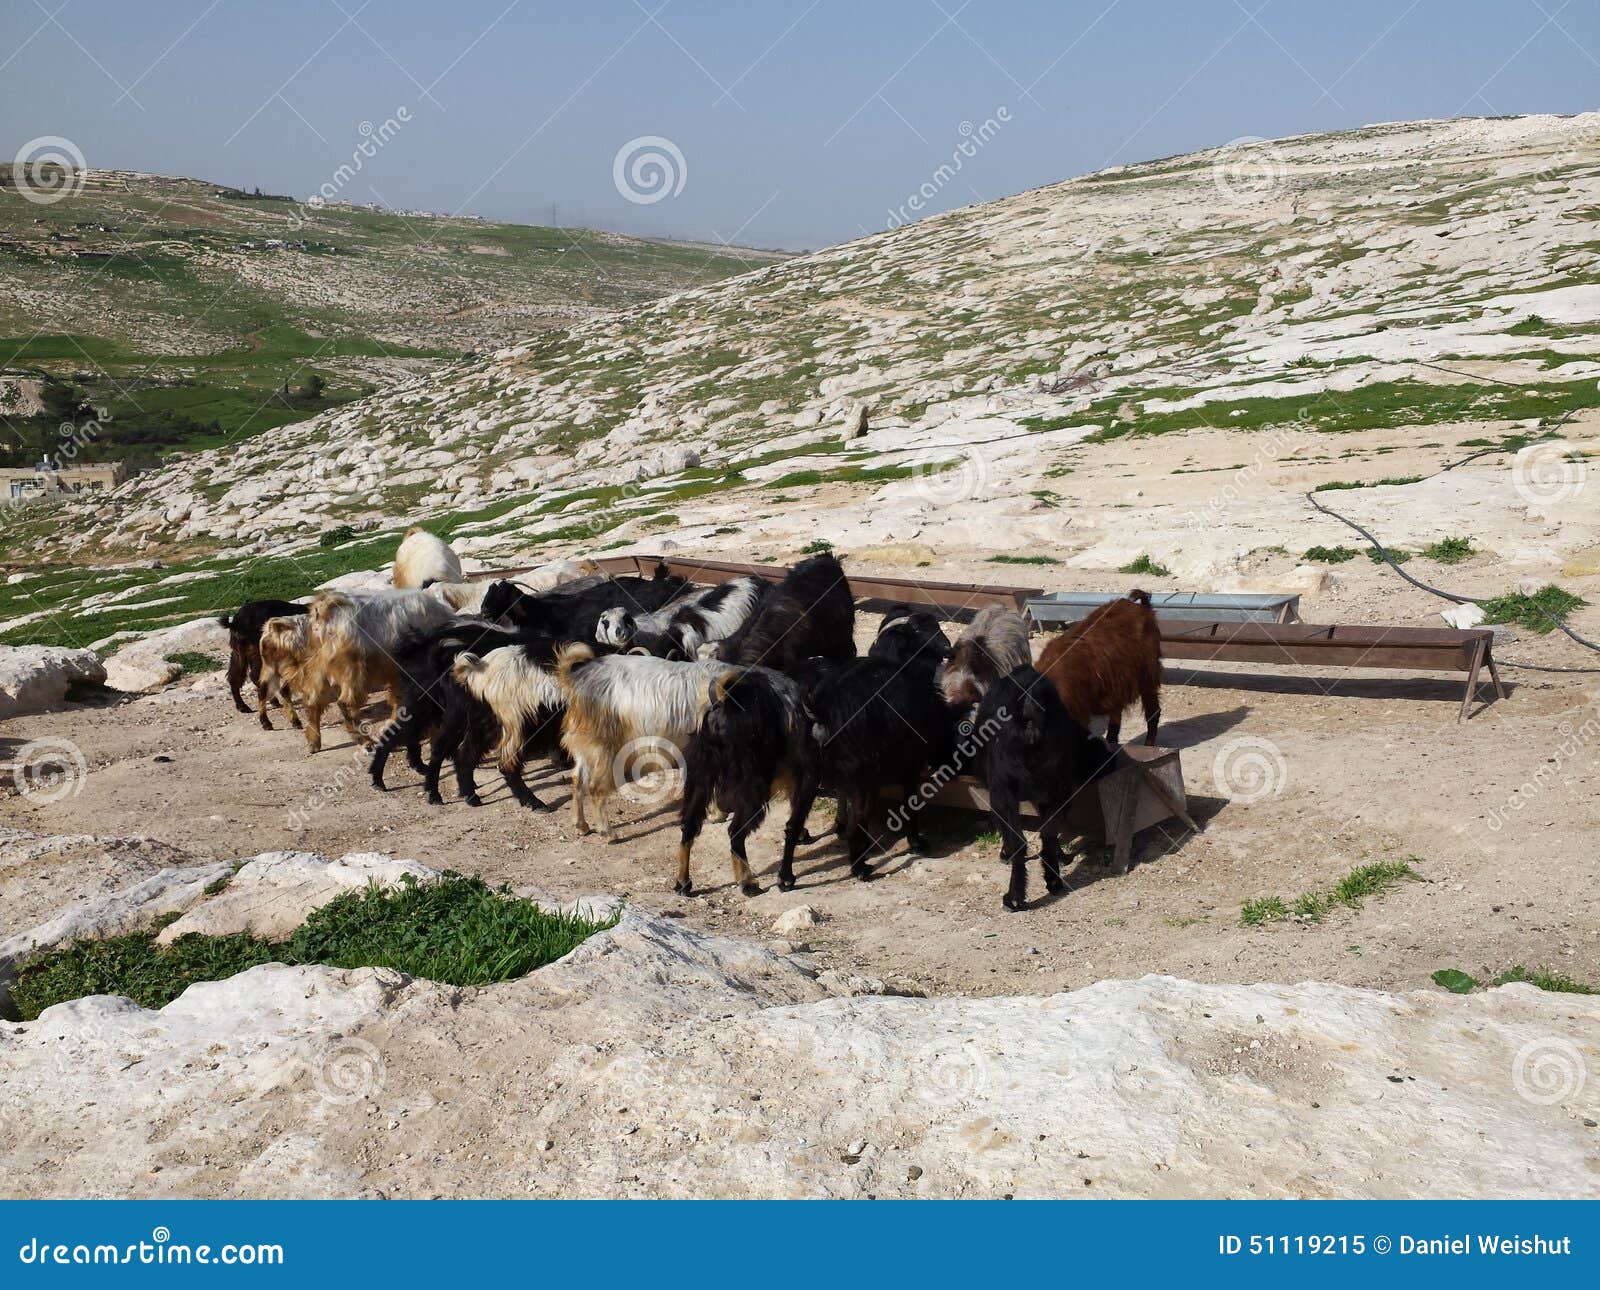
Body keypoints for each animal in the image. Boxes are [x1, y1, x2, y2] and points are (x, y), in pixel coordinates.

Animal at [555, 644, 733, 840]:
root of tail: (577, 679)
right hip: (605, 749)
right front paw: (718, 814)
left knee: (577, 780)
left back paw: (581, 825)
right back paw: (608, 833)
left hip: (586, 749)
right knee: (596, 788)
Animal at [677, 667, 819, 897]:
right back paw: (747, 882)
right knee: (735, 832)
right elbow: (794, 822)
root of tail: (724, 705)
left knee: (689, 826)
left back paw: (683, 882)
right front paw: (785, 879)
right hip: (753, 788)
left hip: (700, 777)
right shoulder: (809, 775)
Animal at [974, 665, 1119, 910]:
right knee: (1047, 837)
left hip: (1004, 793)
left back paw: (1014, 897)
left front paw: (1004, 854)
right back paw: (1054, 881)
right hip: (1056, 789)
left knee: (1020, 843)